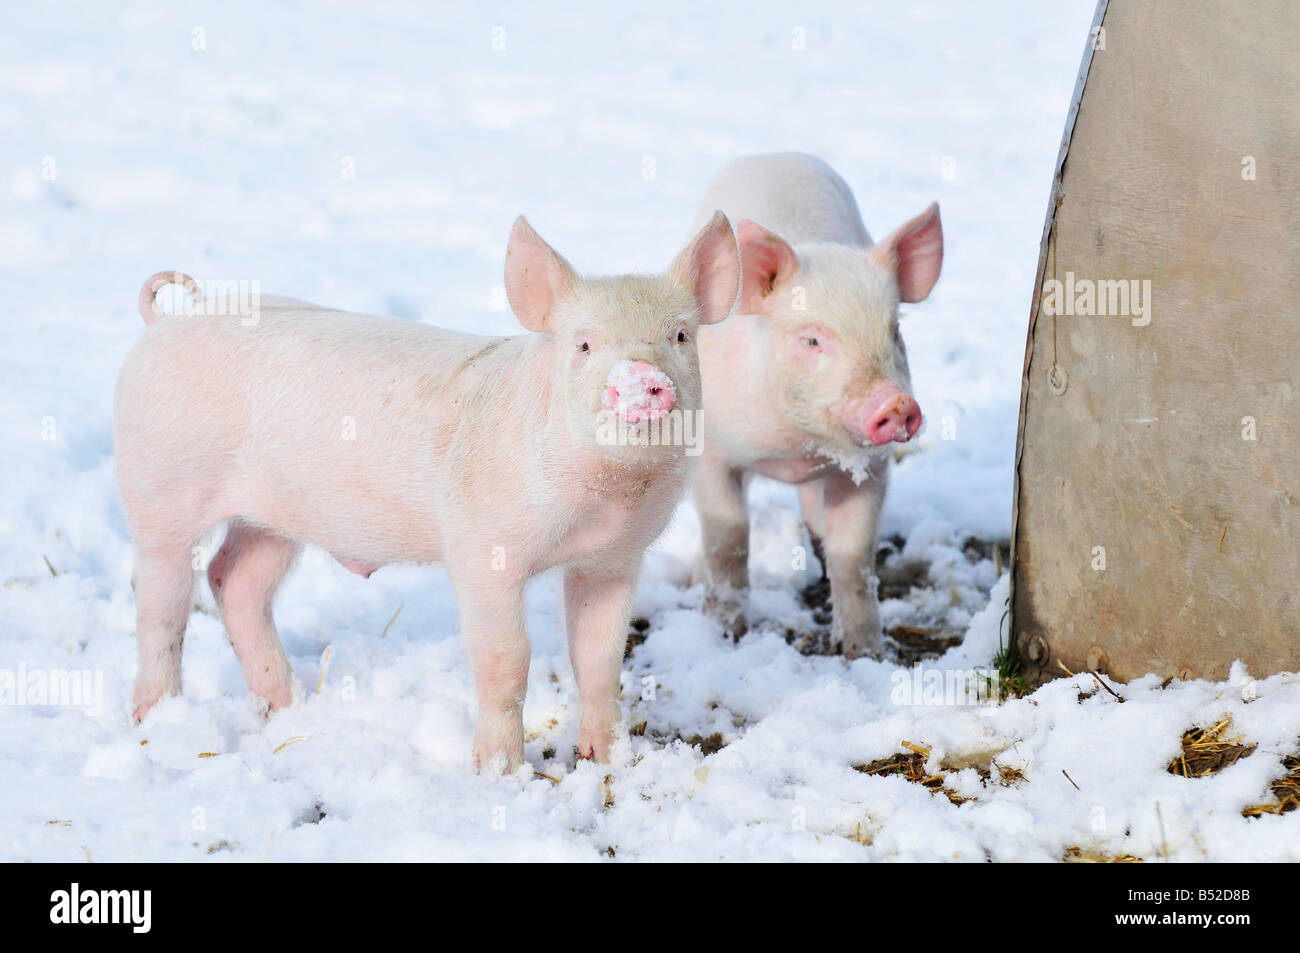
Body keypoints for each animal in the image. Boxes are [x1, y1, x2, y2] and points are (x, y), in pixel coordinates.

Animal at [115, 212, 740, 772]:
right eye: (584, 345)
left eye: (680, 336)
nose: (639, 378)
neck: (606, 501)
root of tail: (165, 323)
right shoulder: (482, 550)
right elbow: (508, 660)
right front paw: (497, 773)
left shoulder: (615, 559)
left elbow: (601, 659)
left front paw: (609, 762)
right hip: (161, 488)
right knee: (160, 597)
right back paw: (158, 721)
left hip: (273, 519)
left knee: (236, 582)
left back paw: (290, 709)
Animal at [689, 153, 942, 659]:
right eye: (812, 340)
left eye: (895, 331)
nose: (896, 402)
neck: (795, 449)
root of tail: (775, 153)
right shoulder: (711, 453)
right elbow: (728, 540)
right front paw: (725, 635)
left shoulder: (871, 468)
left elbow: (854, 555)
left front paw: (865, 655)